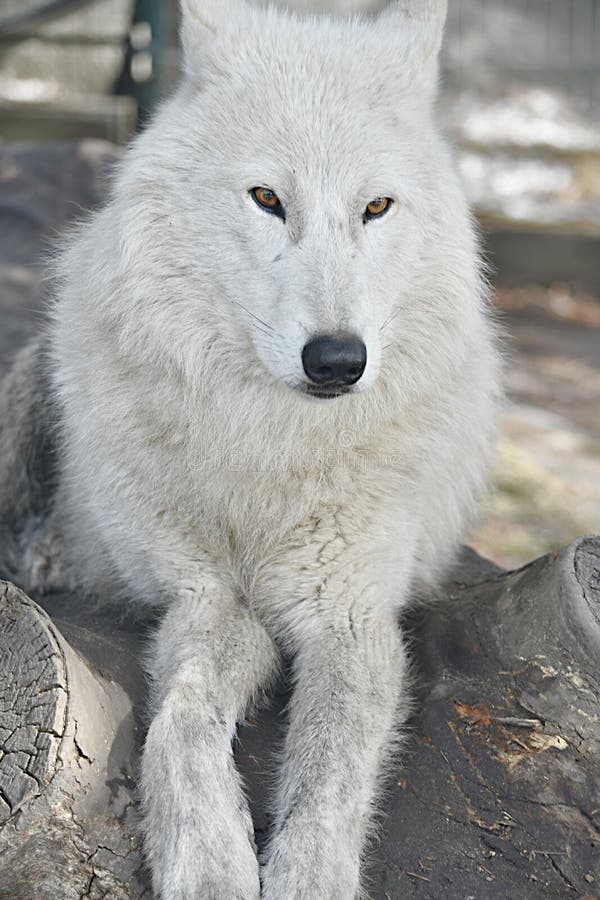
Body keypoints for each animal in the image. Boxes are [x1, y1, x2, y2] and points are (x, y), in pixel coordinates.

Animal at [0, 0, 501, 897]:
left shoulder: (350, 617)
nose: (337, 359)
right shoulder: (208, 598)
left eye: (377, 207)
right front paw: (207, 860)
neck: (268, 455)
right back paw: (48, 551)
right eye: (267, 198)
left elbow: (332, 775)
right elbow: (181, 718)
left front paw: (308, 875)